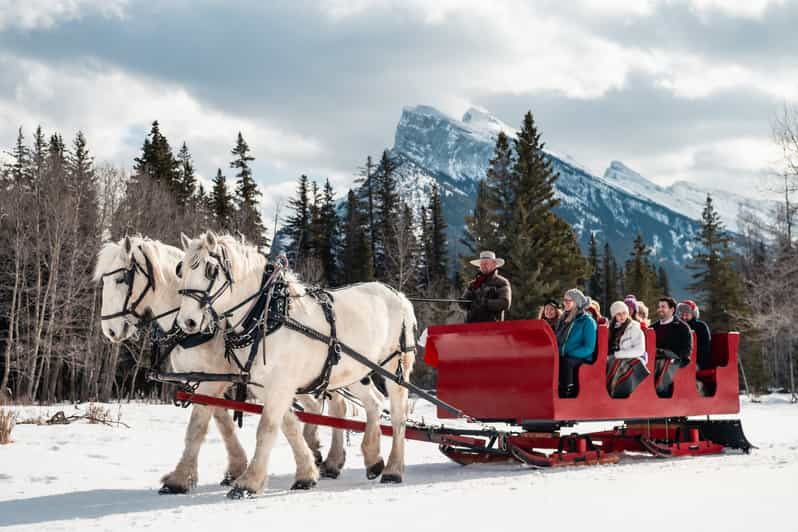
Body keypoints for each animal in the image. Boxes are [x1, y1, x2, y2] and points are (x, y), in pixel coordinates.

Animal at [93, 238, 346, 494]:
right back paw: (318, 450)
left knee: (339, 405)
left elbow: (200, 425)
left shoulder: (218, 380)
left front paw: (180, 479)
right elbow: (226, 421)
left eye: (121, 278)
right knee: (320, 405)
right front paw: (237, 467)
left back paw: (333, 459)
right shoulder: (211, 379)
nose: (110, 330)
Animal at [177, 233, 418, 498]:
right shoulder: (264, 386)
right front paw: (306, 474)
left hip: (396, 367)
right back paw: (373, 459)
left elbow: (267, 428)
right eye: (181, 269)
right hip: (353, 371)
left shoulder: (280, 384)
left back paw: (393, 470)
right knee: (374, 402)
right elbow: (288, 425)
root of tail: (399, 296)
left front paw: (248, 483)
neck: (266, 315)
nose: (187, 321)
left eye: (210, 270)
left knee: (398, 415)